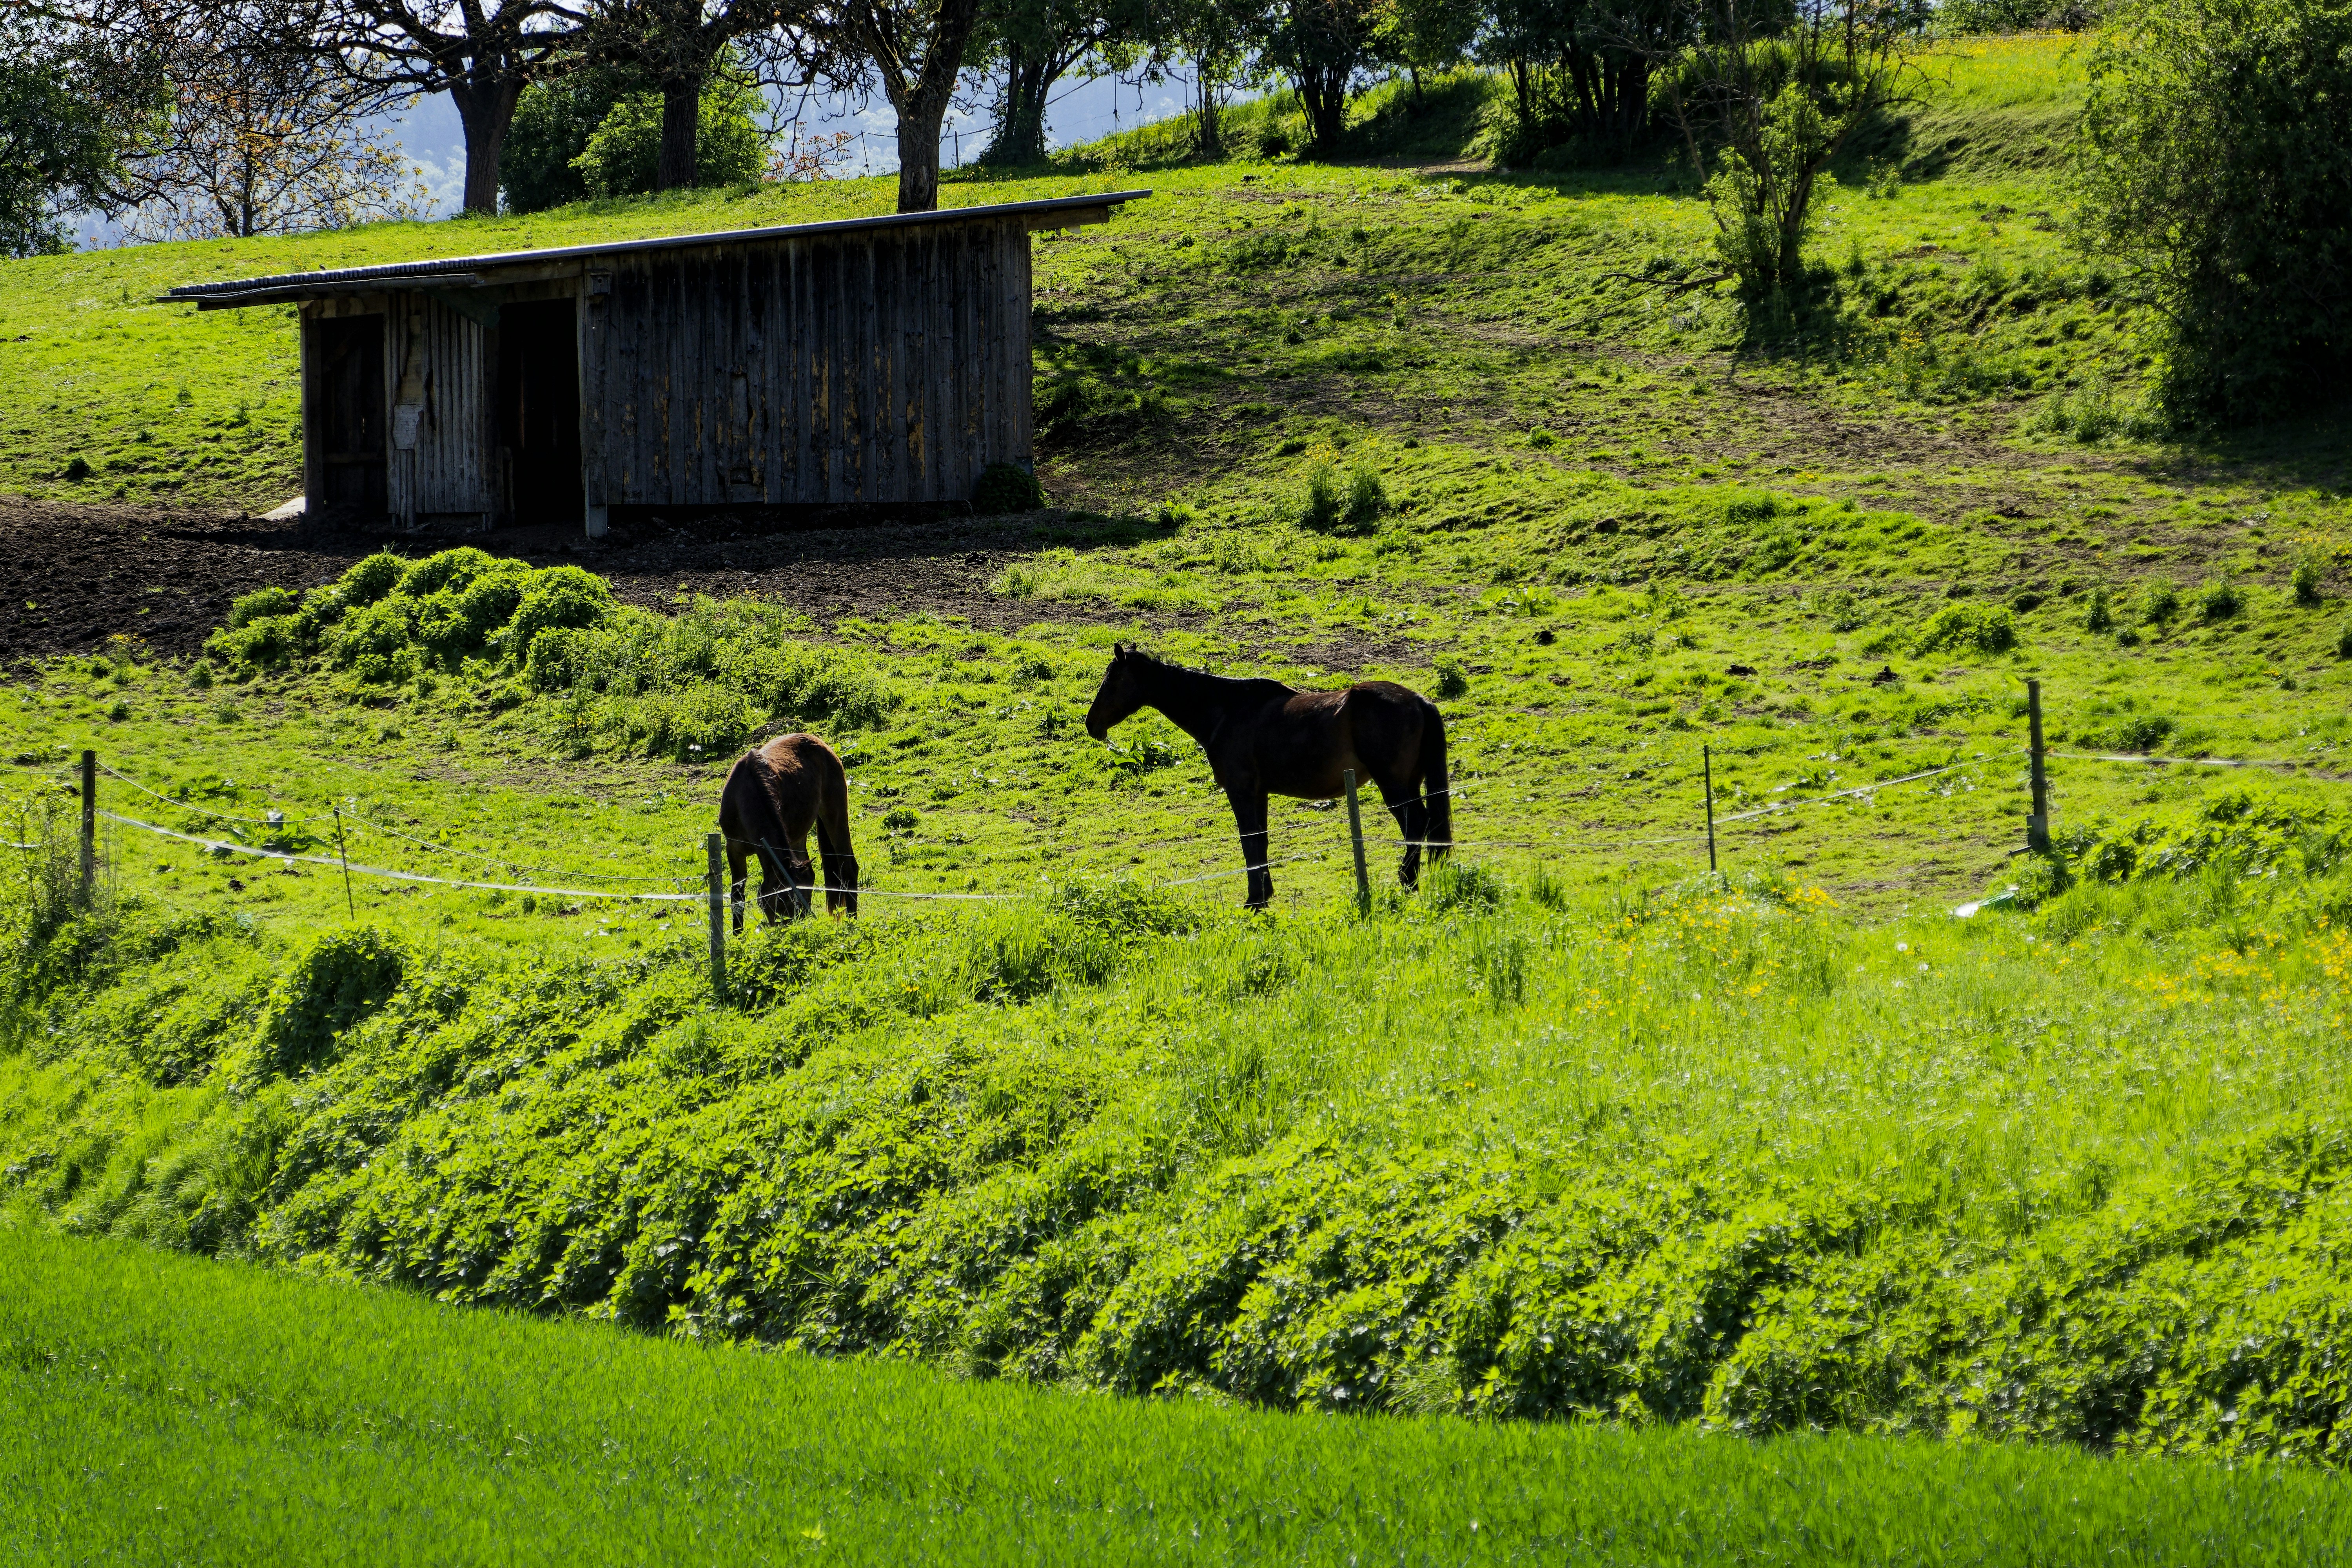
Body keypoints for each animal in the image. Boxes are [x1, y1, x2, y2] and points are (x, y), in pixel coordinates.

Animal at [716, 733, 860, 928]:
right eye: (780, 902)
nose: (794, 927)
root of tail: (823, 746)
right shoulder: (734, 849)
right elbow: (737, 899)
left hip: (835, 817)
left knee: (849, 868)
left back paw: (853, 921)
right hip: (798, 837)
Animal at [1084, 644, 1451, 909]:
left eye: (1112, 681)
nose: (1091, 725)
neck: (1227, 711)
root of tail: (1419, 700)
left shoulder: (1242, 791)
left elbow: (1250, 842)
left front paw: (1255, 900)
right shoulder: (1258, 794)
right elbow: (1260, 841)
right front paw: (1263, 894)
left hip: (1395, 786)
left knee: (1417, 824)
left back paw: (1407, 881)